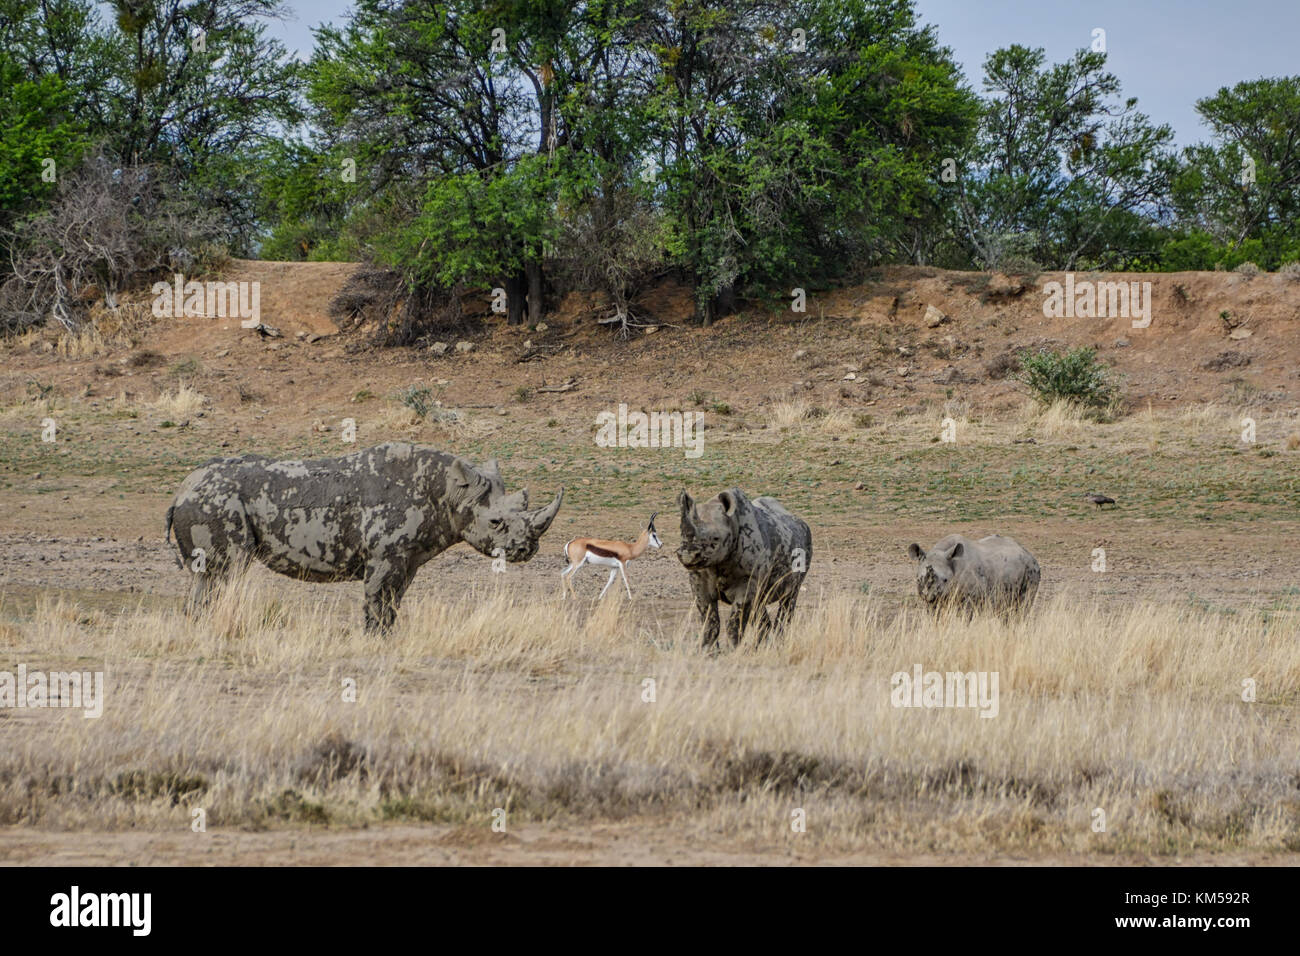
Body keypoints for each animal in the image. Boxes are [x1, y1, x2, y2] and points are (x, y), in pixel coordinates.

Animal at [165, 442, 563, 631]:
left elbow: (392, 604)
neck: (450, 493)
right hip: (214, 503)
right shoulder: (385, 554)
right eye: (496, 522)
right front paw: (374, 641)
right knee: (225, 574)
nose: (528, 549)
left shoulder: (407, 557)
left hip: (209, 501)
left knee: (209, 579)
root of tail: (180, 491)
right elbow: (377, 601)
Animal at [676, 488, 812, 648]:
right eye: (681, 534)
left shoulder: (748, 579)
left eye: (716, 538)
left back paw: (778, 643)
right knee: (759, 605)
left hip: (805, 544)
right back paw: (761, 646)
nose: (687, 554)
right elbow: (710, 622)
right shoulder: (698, 577)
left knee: (789, 597)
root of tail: (800, 521)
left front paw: (734, 649)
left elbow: (735, 622)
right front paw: (707, 651)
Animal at [906, 534, 1040, 614]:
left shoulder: (971, 599)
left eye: (945, 580)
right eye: (918, 579)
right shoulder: (935, 602)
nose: (929, 596)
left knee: (1023, 606)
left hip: (1031, 569)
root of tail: (1028, 553)